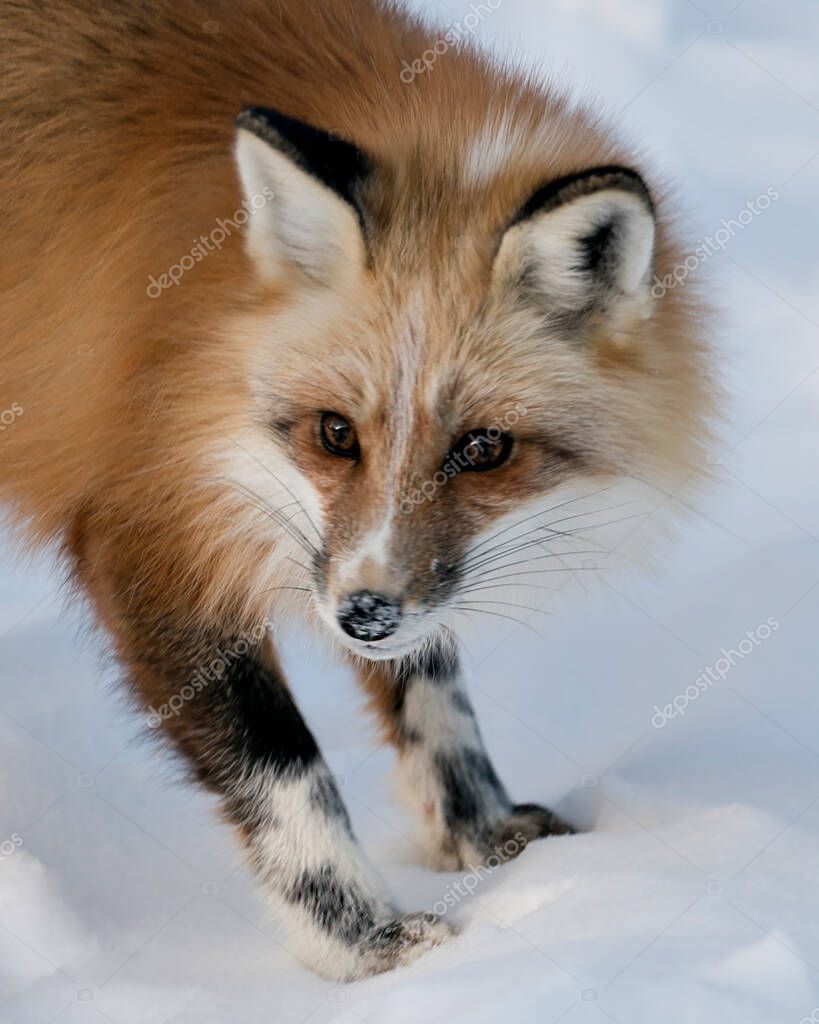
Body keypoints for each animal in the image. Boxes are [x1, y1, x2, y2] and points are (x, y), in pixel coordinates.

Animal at [0, 0, 712, 981]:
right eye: (336, 434)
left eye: (483, 449)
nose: (363, 619)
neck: (204, 353)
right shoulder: (146, 532)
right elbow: (284, 776)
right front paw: (365, 942)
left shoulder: (368, 568)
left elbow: (433, 690)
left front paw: (482, 831)